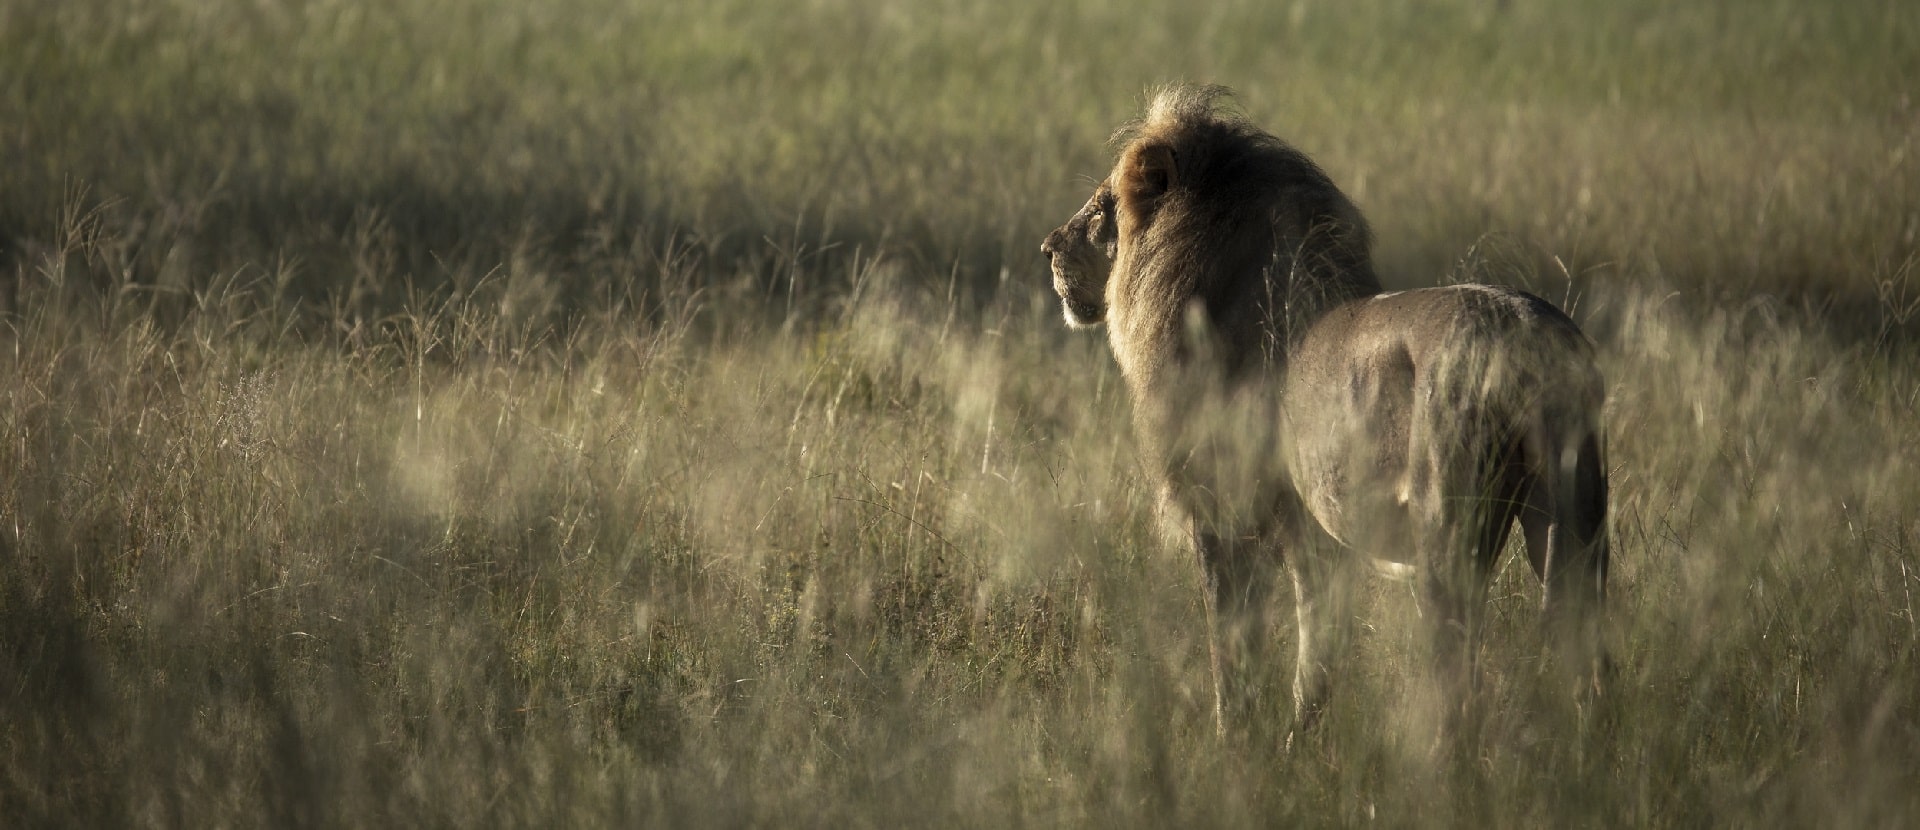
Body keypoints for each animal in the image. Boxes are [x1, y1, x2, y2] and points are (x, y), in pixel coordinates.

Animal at [1042, 85, 1610, 736]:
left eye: (1100, 209)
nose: (1048, 248)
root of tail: (1527, 333)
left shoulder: (1222, 511)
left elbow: (1231, 648)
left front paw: (1232, 742)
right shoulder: (1315, 534)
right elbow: (1317, 645)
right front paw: (1298, 738)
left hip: (1447, 532)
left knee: (1458, 679)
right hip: (1574, 522)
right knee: (1590, 659)